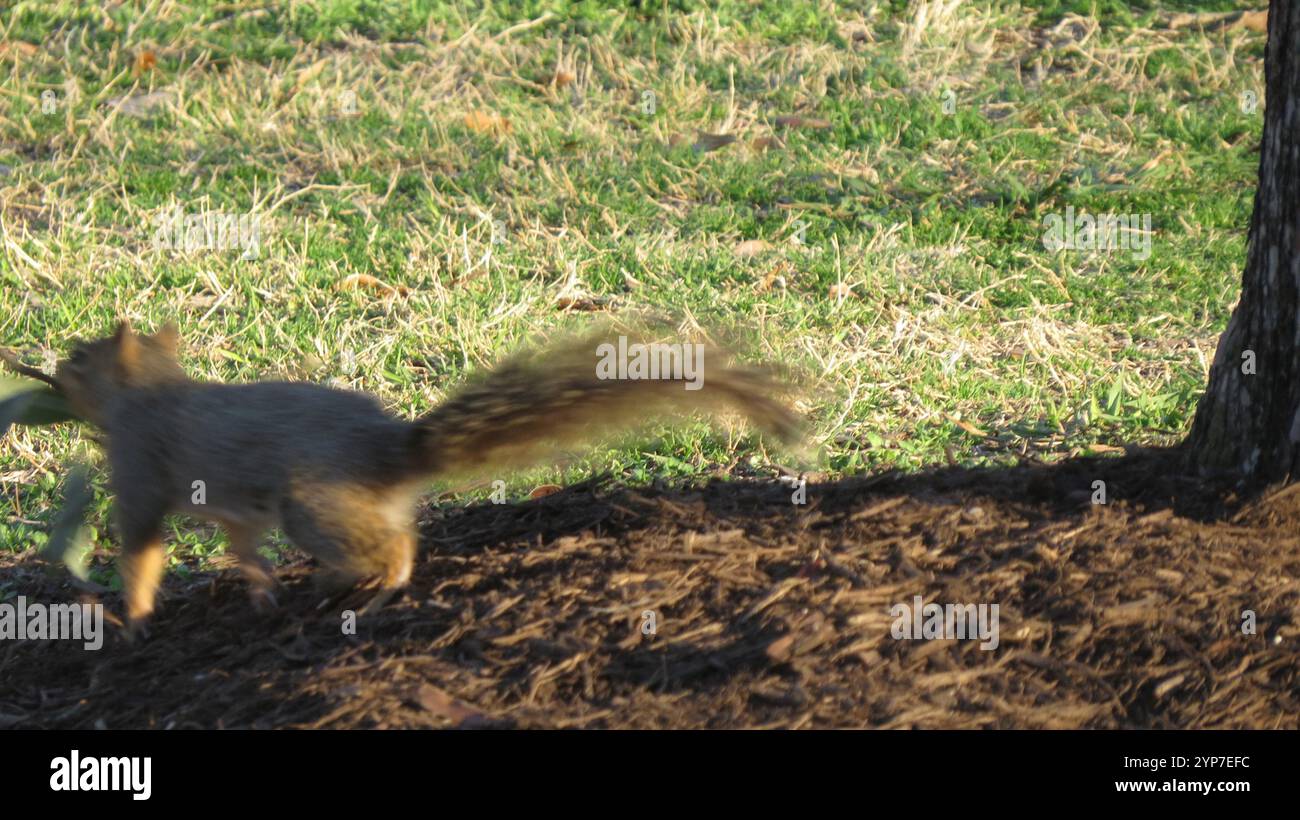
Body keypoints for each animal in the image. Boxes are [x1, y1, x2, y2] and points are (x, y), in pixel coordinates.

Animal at [44, 321, 800, 635]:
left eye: (79, 359)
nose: (48, 372)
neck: (150, 392)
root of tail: (393, 454)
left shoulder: (140, 463)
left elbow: (142, 549)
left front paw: (135, 618)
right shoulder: (233, 509)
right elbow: (242, 546)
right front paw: (259, 592)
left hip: (313, 505)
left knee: (394, 548)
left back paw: (369, 583)